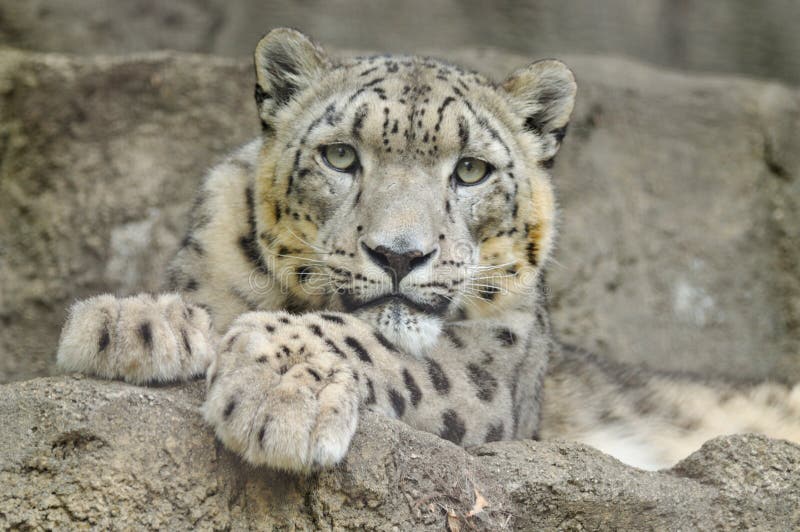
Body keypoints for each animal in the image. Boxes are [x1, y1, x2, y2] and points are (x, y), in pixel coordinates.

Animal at [56, 28, 800, 472]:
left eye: (470, 170)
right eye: (339, 156)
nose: (398, 254)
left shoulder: (492, 367)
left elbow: (379, 345)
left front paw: (282, 391)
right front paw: (131, 323)